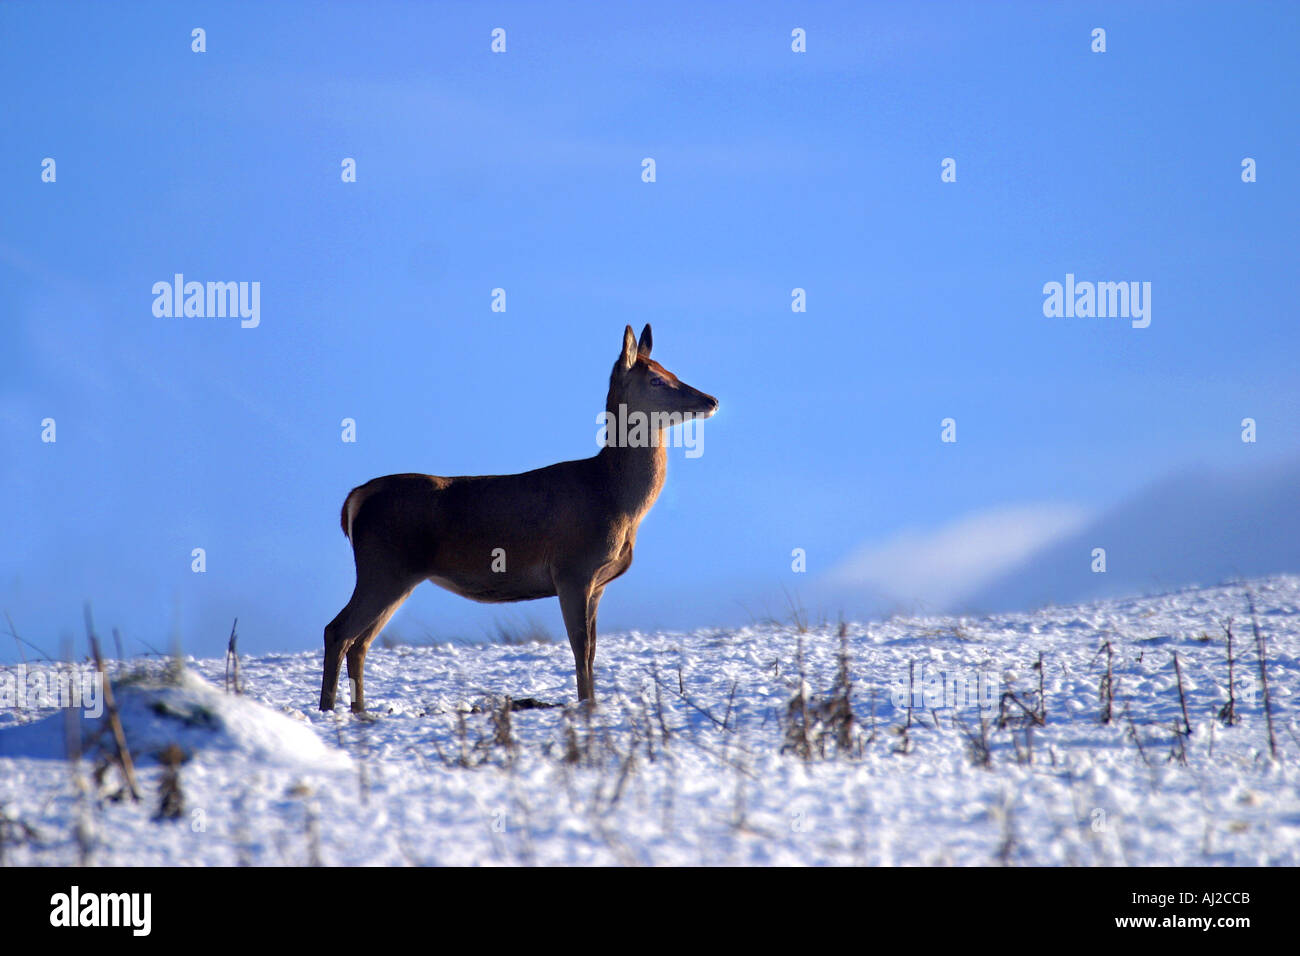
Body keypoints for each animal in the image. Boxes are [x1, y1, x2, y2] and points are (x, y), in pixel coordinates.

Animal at [320, 324, 718, 713]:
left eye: (671, 371)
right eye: (656, 380)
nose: (711, 400)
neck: (613, 496)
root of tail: (355, 498)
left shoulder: (599, 582)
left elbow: (592, 650)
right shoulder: (573, 568)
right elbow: (580, 646)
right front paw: (586, 705)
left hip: (396, 574)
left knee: (360, 641)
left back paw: (359, 711)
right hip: (385, 566)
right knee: (337, 630)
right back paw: (329, 710)